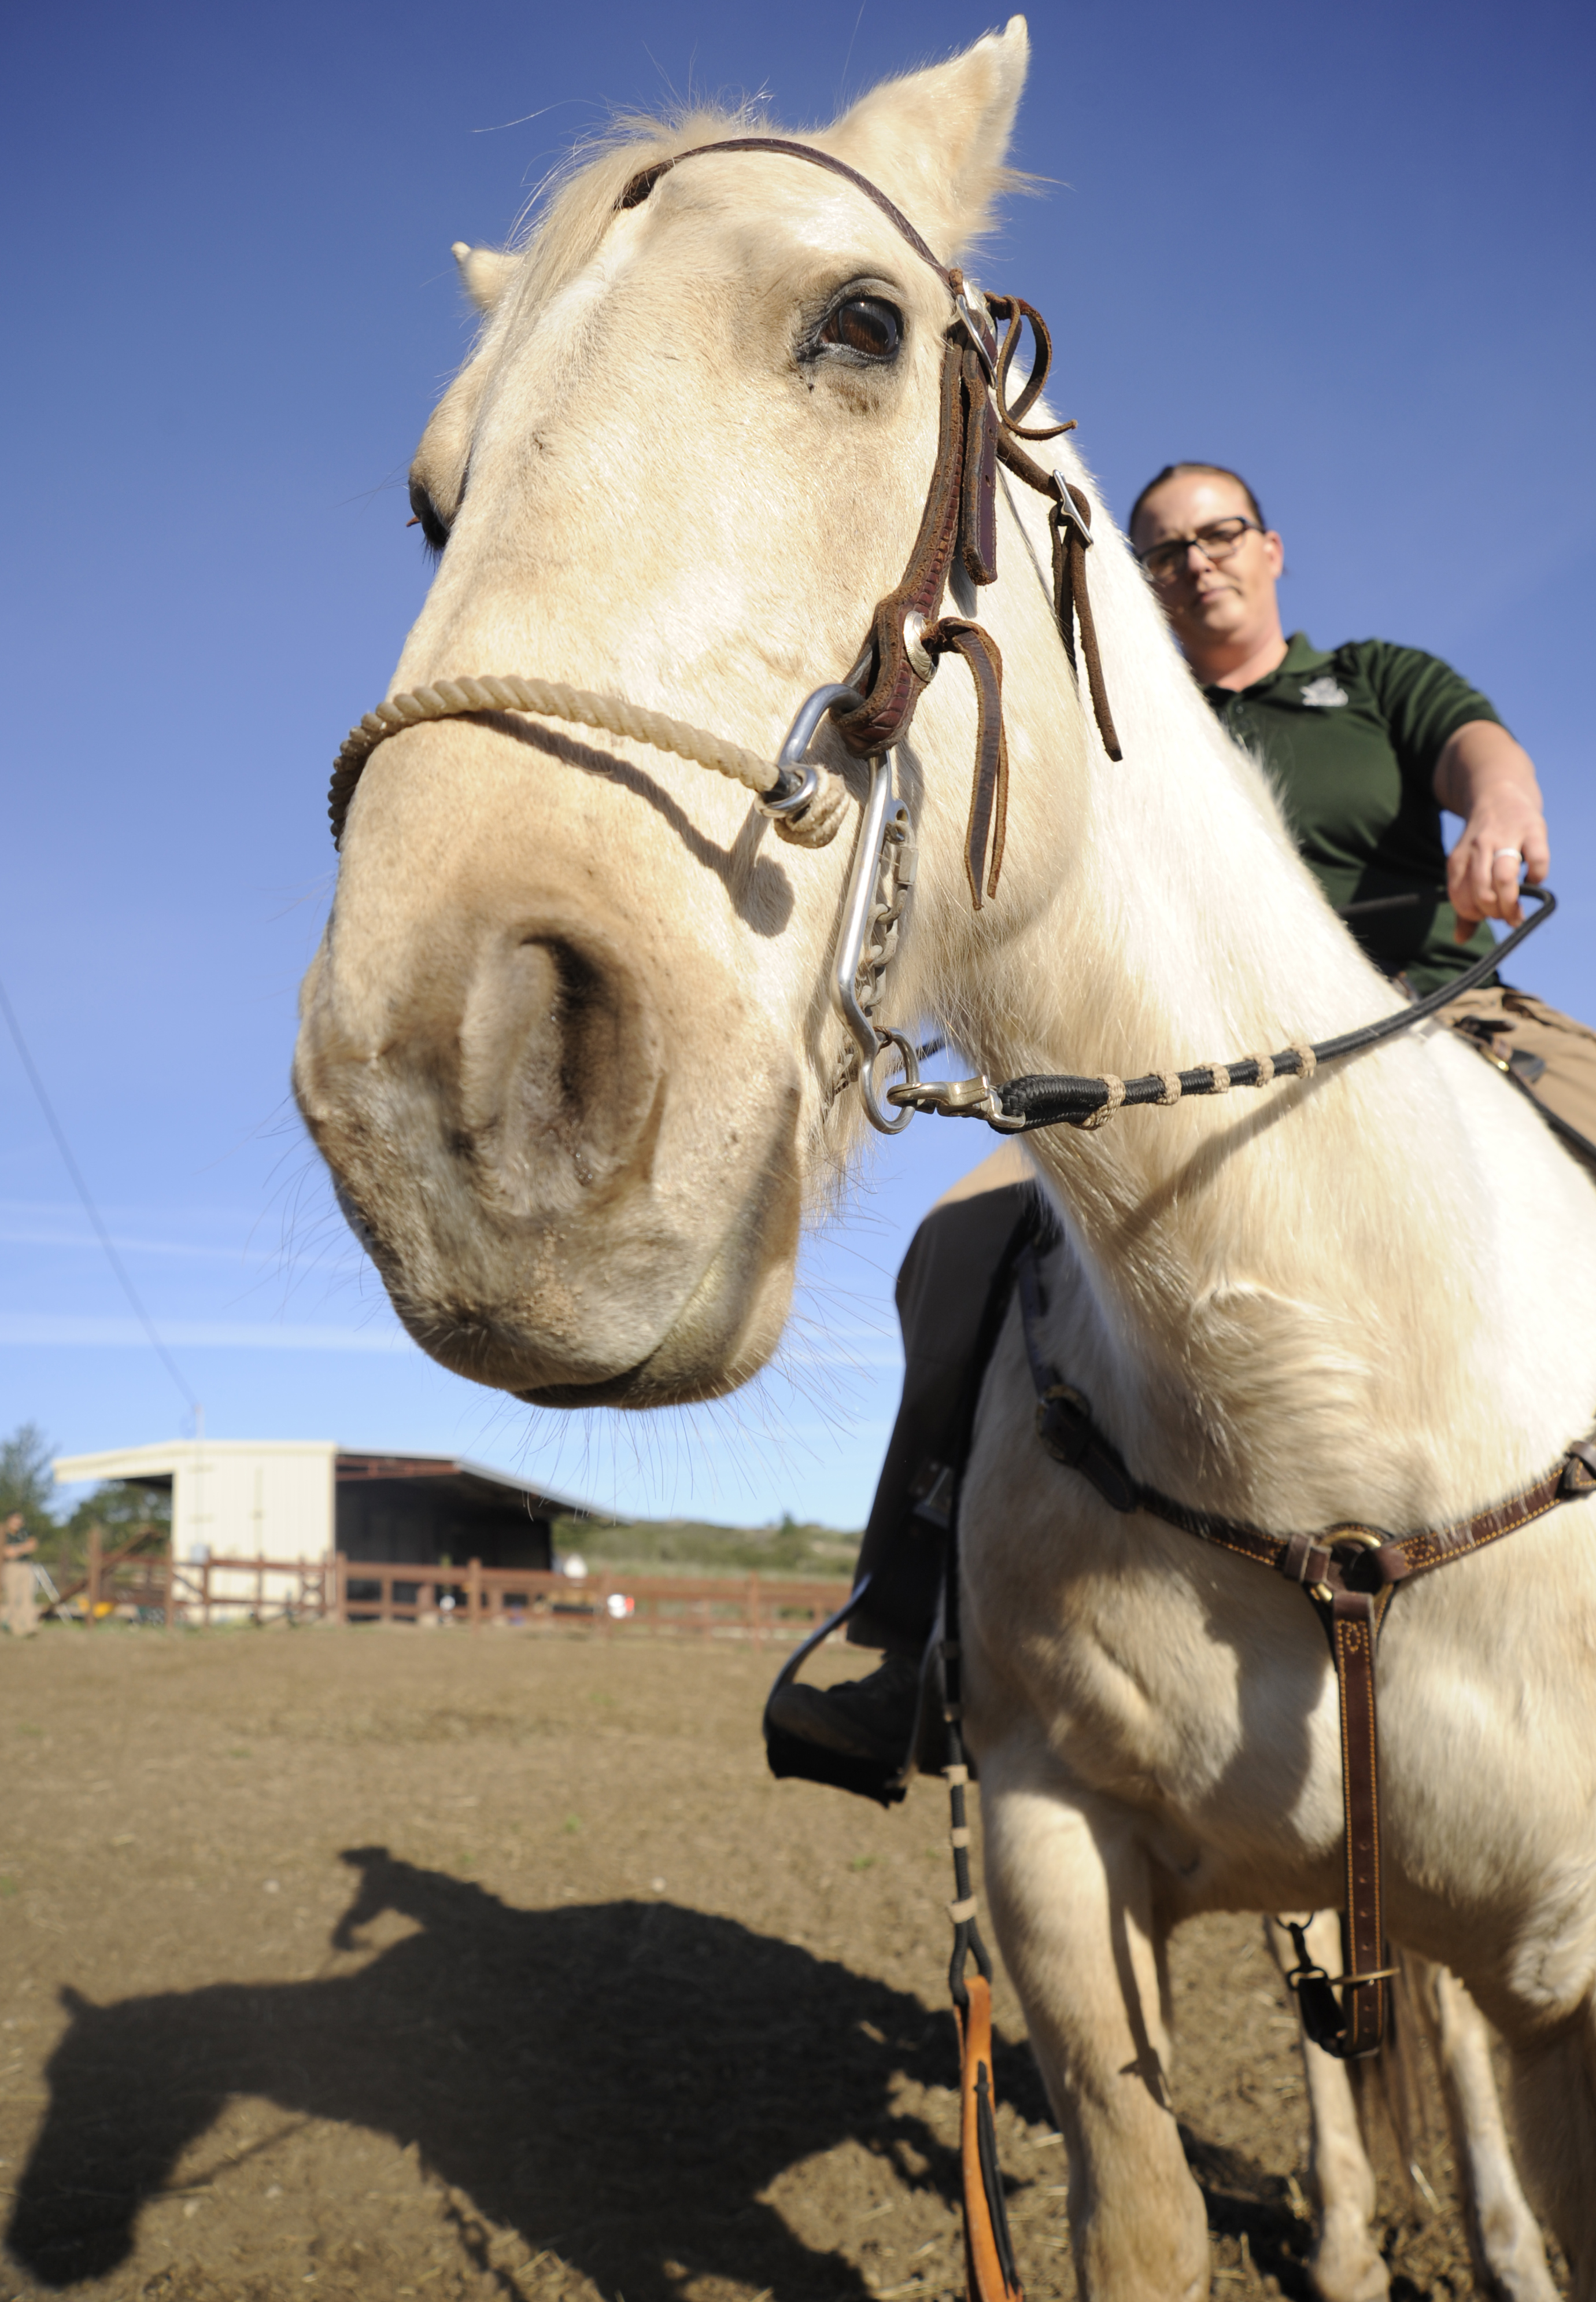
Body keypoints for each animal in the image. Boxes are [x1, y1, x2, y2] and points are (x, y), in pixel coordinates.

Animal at [292, 21, 1596, 2297]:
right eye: (436, 493)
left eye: (859, 325)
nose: (451, 1089)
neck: (1329, 1399)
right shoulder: (1062, 1879)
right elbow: (1146, 2195)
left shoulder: (1568, 1989)